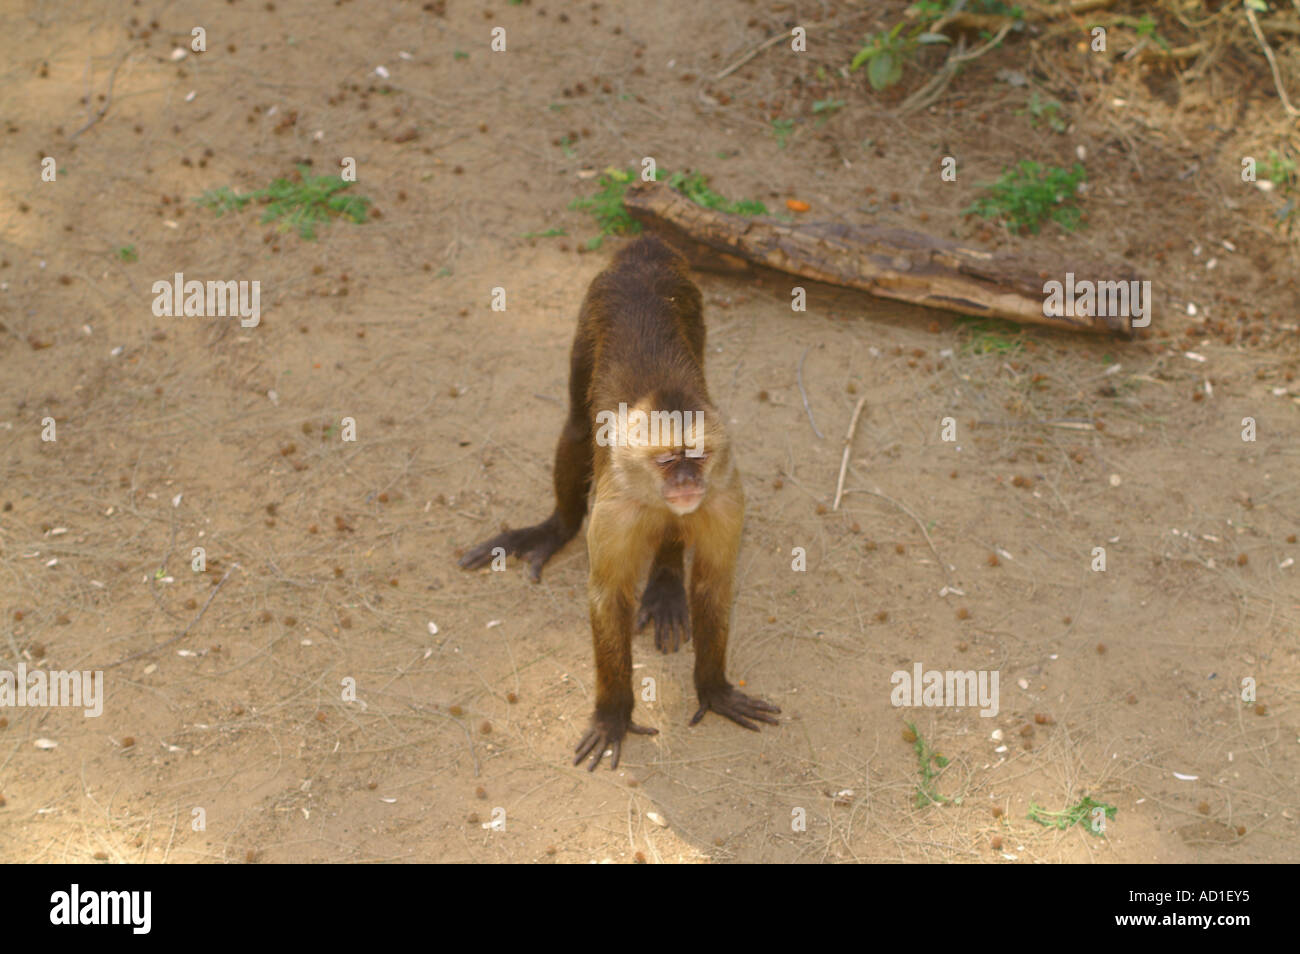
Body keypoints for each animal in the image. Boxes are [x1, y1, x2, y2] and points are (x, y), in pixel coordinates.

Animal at [459, 234, 779, 770]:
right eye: (669, 461)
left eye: (697, 456)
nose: (687, 479)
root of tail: (645, 252)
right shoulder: (616, 513)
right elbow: (609, 597)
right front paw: (614, 712)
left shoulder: (724, 497)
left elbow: (712, 584)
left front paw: (712, 687)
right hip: (595, 303)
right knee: (576, 423)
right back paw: (557, 527)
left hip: (689, 301)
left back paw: (666, 581)